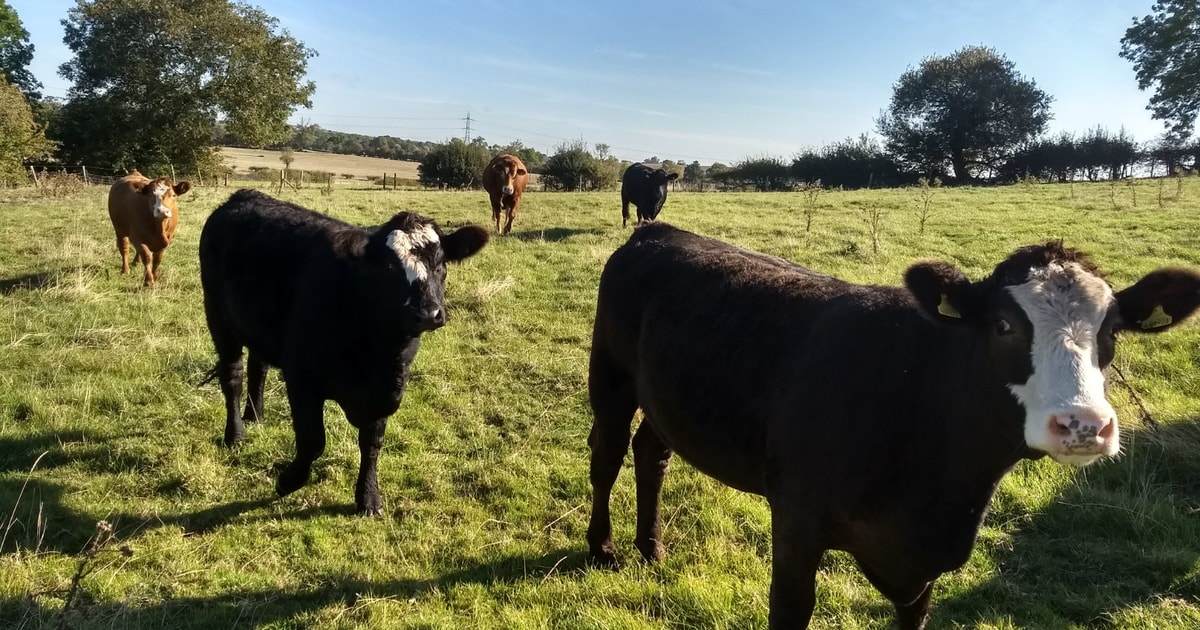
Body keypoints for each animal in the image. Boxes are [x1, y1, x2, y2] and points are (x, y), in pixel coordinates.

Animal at [198, 189, 488, 515]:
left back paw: (255, 416)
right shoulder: (302, 378)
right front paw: (287, 481)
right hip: (218, 316)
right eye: (389, 268)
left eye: (442, 265)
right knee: (232, 376)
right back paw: (235, 435)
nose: (427, 313)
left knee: (257, 365)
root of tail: (243, 196)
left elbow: (372, 443)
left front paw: (368, 497)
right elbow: (312, 440)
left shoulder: (388, 390)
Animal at [586, 222, 1200, 629]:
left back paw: (651, 547)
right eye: (1003, 324)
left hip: (664, 399)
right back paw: (604, 549)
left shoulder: (921, 572)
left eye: (1111, 331)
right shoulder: (796, 525)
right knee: (607, 456)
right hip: (611, 379)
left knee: (652, 451)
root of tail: (656, 230)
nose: (1083, 424)